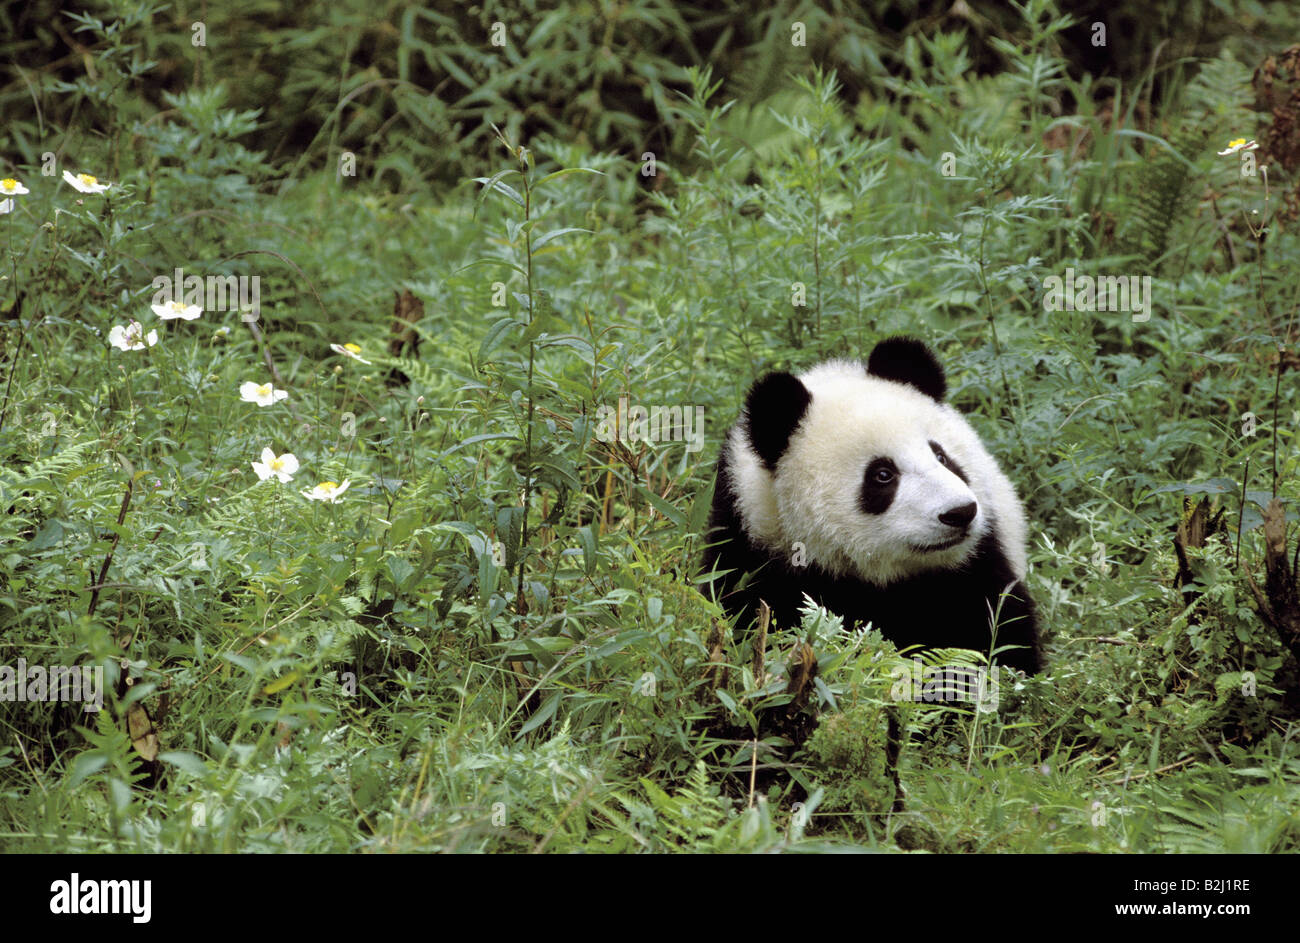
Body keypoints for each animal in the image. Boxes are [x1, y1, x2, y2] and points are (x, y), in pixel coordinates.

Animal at [701, 336, 1043, 674]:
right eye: (882, 475)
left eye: (942, 457)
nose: (960, 513)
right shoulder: (751, 547)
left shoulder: (978, 564)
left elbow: (997, 632)